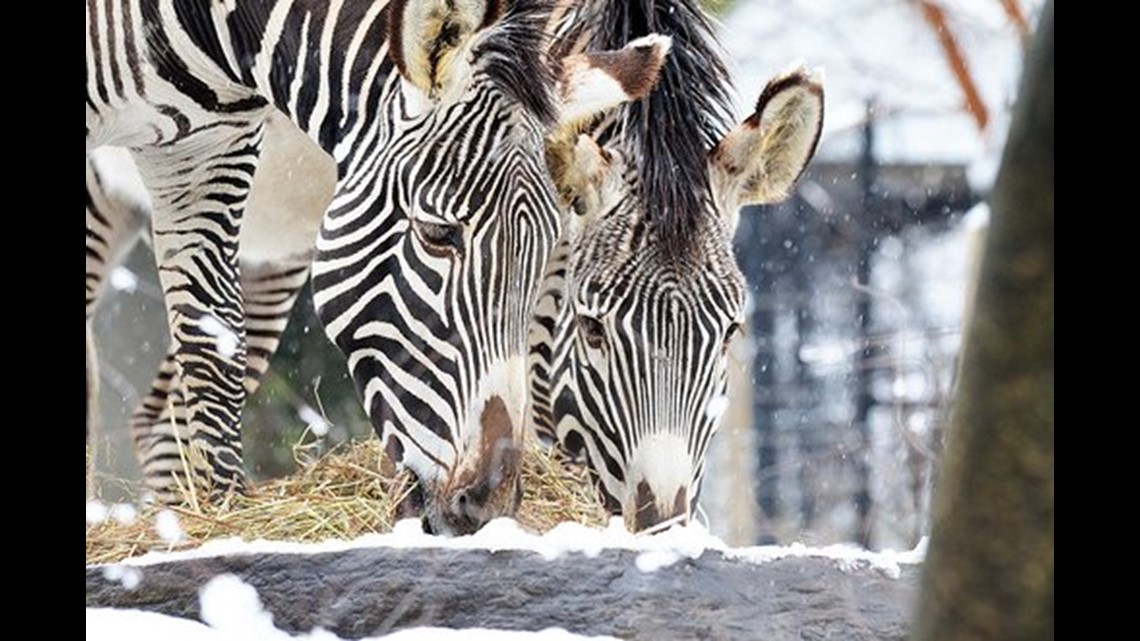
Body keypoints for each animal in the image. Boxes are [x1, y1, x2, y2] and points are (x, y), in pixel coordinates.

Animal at [86, 0, 670, 534]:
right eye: (436, 233)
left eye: (547, 249)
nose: (486, 508)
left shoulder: (203, 149)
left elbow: (214, 349)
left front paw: (221, 519)